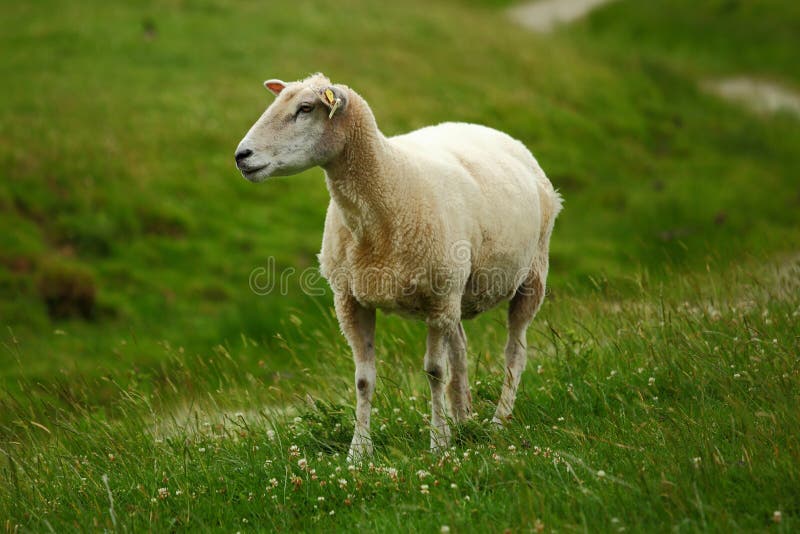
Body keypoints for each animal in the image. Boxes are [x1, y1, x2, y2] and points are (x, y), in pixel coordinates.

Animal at [235, 73, 562, 461]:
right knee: (461, 349)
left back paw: (498, 420)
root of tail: (493, 132)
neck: (388, 183)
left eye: (305, 108)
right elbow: (364, 379)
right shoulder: (350, 300)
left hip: (528, 275)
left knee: (514, 351)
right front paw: (358, 453)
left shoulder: (436, 297)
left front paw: (438, 443)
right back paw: (463, 418)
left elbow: (434, 371)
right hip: (456, 292)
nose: (241, 156)